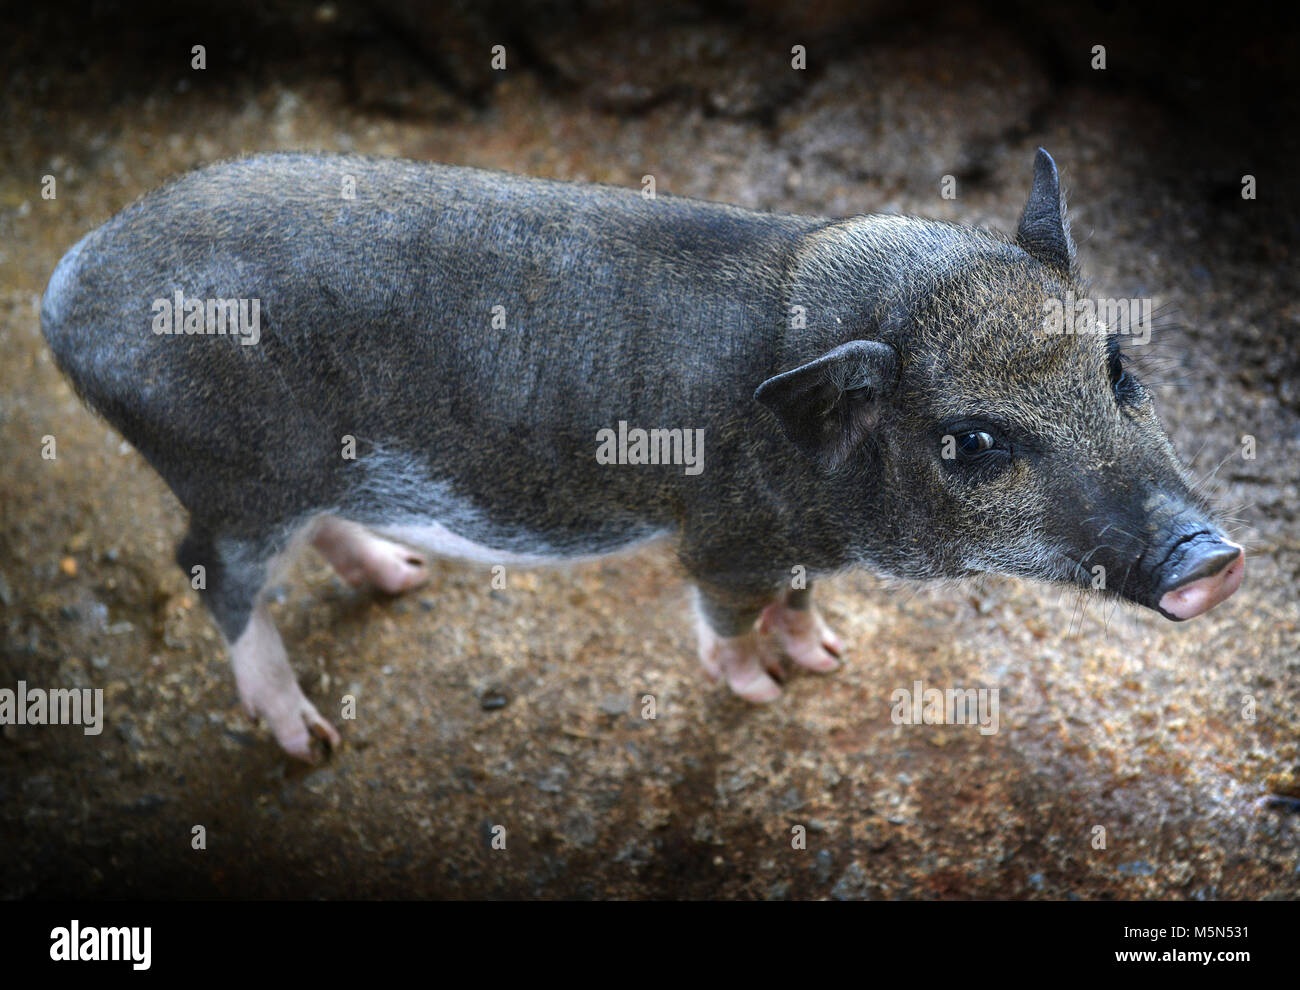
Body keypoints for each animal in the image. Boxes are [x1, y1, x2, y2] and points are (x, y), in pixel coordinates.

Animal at [40, 148, 1244, 760]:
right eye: (974, 442)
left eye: (1118, 366)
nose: (1212, 559)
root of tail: (66, 286)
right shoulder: (723, 539)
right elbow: (727, 615)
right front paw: (762, 692)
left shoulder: (797, 548)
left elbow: (801, 602)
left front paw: (829, 659)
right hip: (230, 472)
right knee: (207, 570)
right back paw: (310, 741)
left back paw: (402, 579)